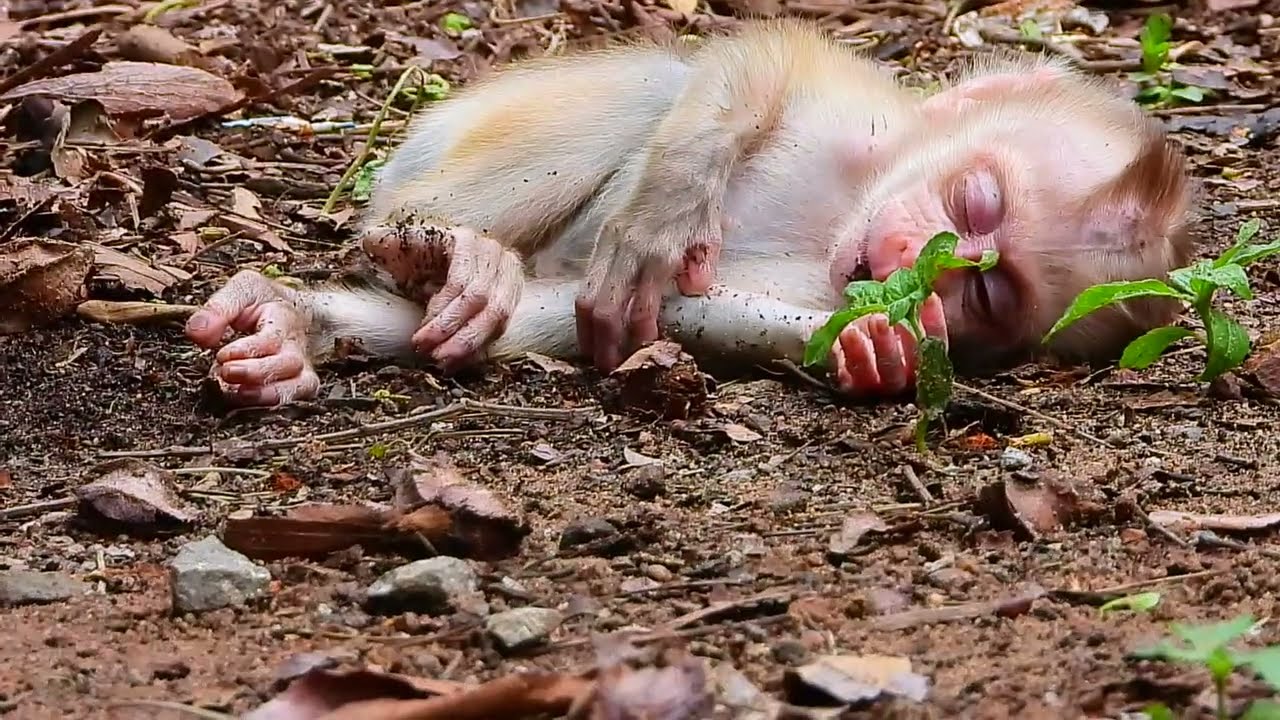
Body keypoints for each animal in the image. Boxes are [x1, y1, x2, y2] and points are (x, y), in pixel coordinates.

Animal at [183, 19, 1195, 408]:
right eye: (972, 201)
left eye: (990, 290)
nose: (923, 262)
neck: (844, 210)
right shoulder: (856, 121)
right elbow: (758, 65)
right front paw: (661, 219)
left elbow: (671, 316)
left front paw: (875, 345)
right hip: (450, 138)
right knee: (655, 89)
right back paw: (431, 244)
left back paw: (304, 324)